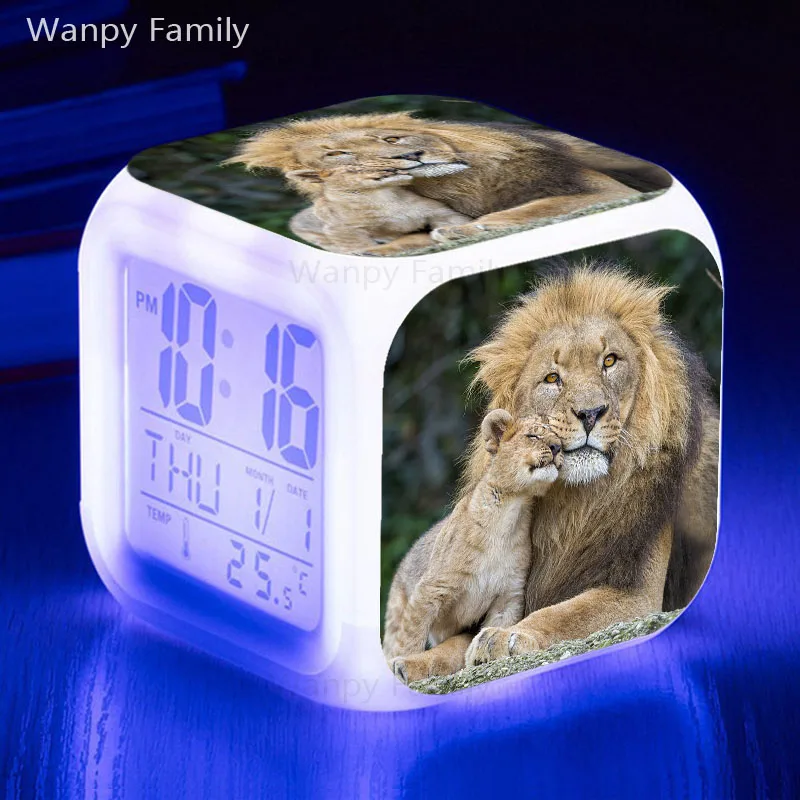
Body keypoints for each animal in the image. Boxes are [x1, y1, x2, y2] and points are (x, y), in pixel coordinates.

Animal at [225, 111, 671, 254]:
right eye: (337, 156)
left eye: (391, 139)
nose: (409, 158)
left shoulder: (607, 190)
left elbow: (535, 206)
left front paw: (469, 229)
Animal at [383, 409, 565, 683]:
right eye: (533, 436)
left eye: (559, 439)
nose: (557, 447)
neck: (510, 514)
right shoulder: (430, 589)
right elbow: (411, 637)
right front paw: (407, 662)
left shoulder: (508, 596)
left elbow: (494, 629)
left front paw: (488, 651)